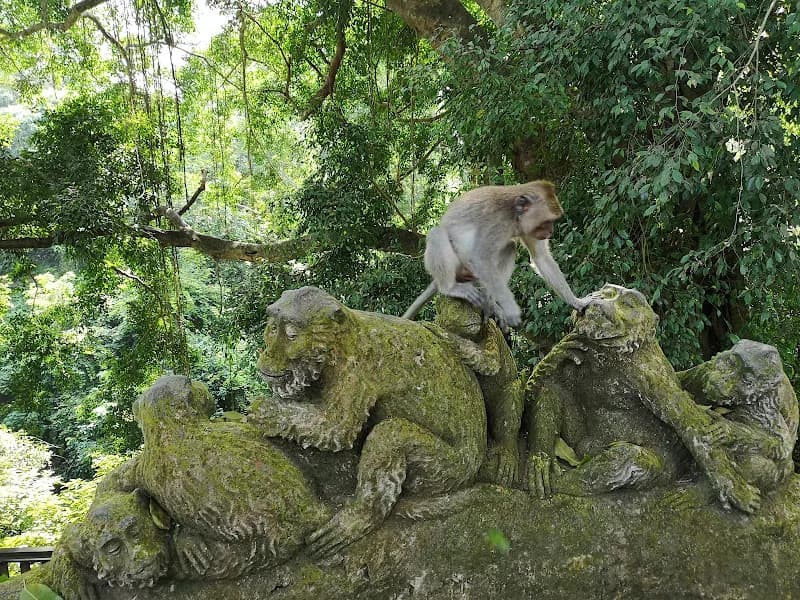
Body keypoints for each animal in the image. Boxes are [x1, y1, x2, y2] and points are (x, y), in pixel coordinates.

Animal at [402, 180, 593, 330]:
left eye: (552, 221)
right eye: (547, 222)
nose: (550, 231)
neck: (514, 215)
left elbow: (541, 258)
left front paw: (577, 302)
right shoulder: (496, 221)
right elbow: (481, 257)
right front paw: (511, 310)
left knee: (510, 247)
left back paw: (491, 302)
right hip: (457, 266)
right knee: (437, 234)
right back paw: (450, 288)